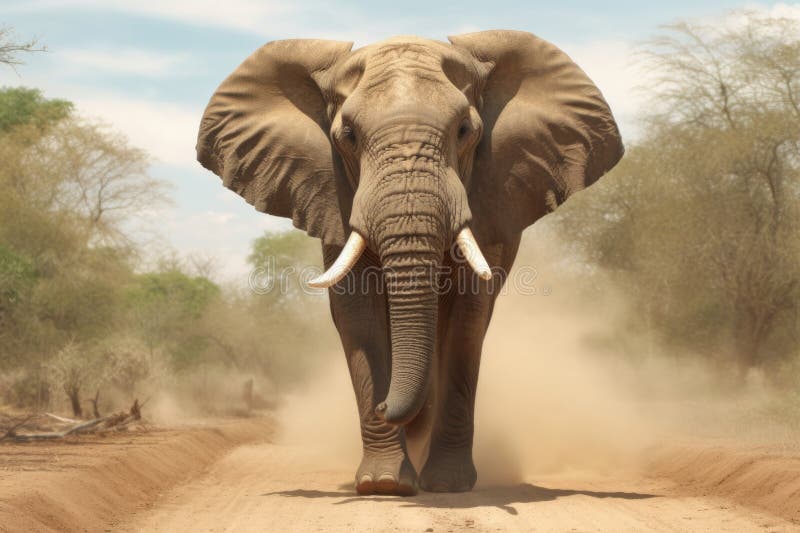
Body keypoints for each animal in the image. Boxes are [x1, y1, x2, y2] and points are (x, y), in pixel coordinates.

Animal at [196, 30, 623, 496]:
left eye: (465, 131)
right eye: (347, 135)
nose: (385, 406)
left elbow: (468, 319)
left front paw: (448, 485)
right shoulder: (336, 197)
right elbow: (358, 315)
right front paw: (383, 485)